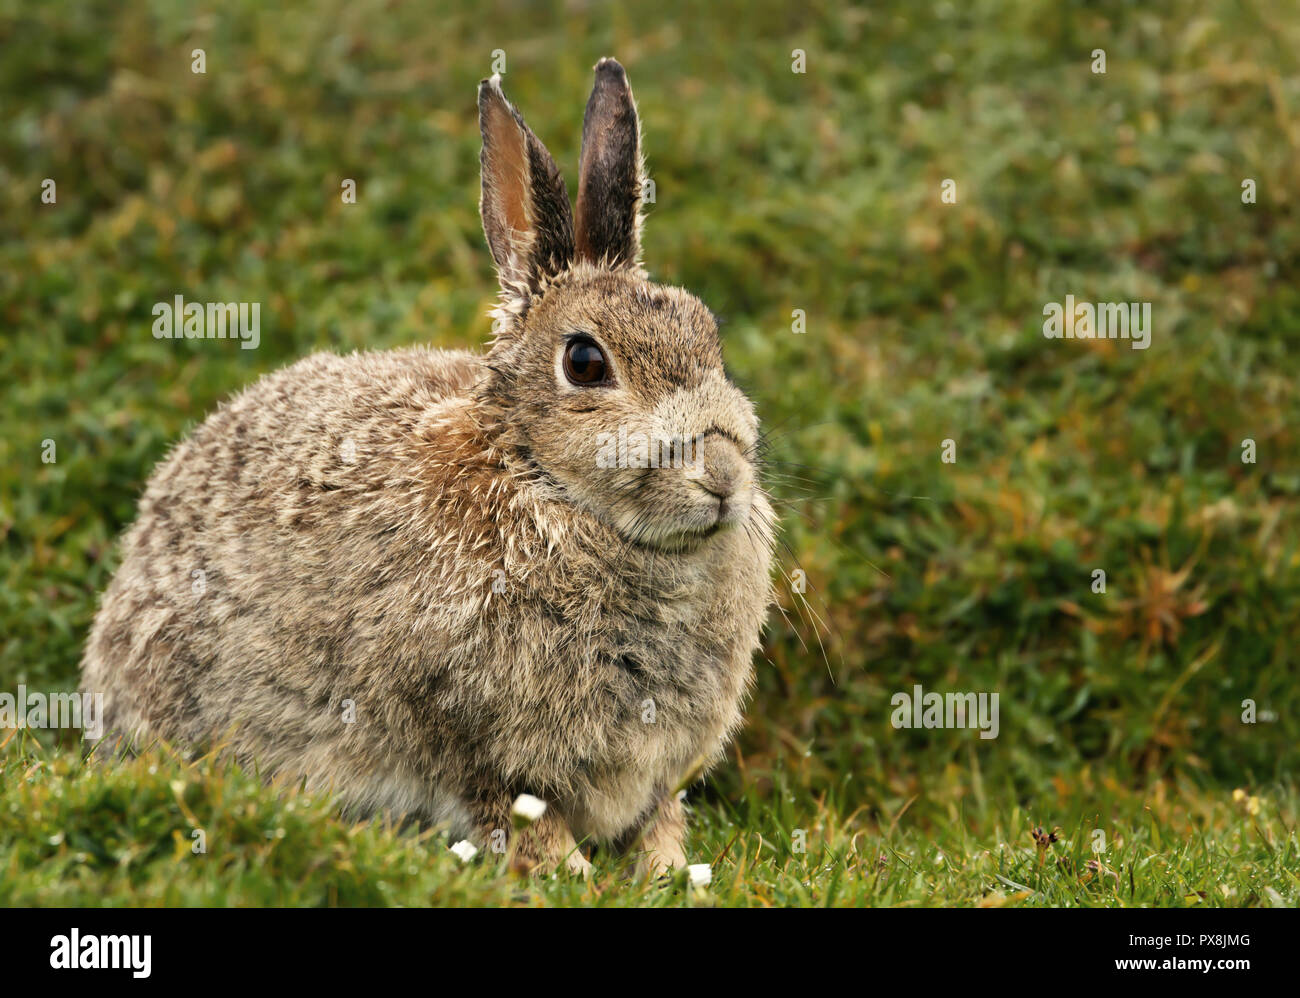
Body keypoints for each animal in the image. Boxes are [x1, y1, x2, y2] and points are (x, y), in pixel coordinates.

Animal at [80, 58, 776, 876]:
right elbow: (519, 816)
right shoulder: (473, 747)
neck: (538, 481)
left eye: (709, 336)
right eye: (584, 362)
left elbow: (659, 817)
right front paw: (574, 878)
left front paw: (668, 873)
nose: (724, 474)